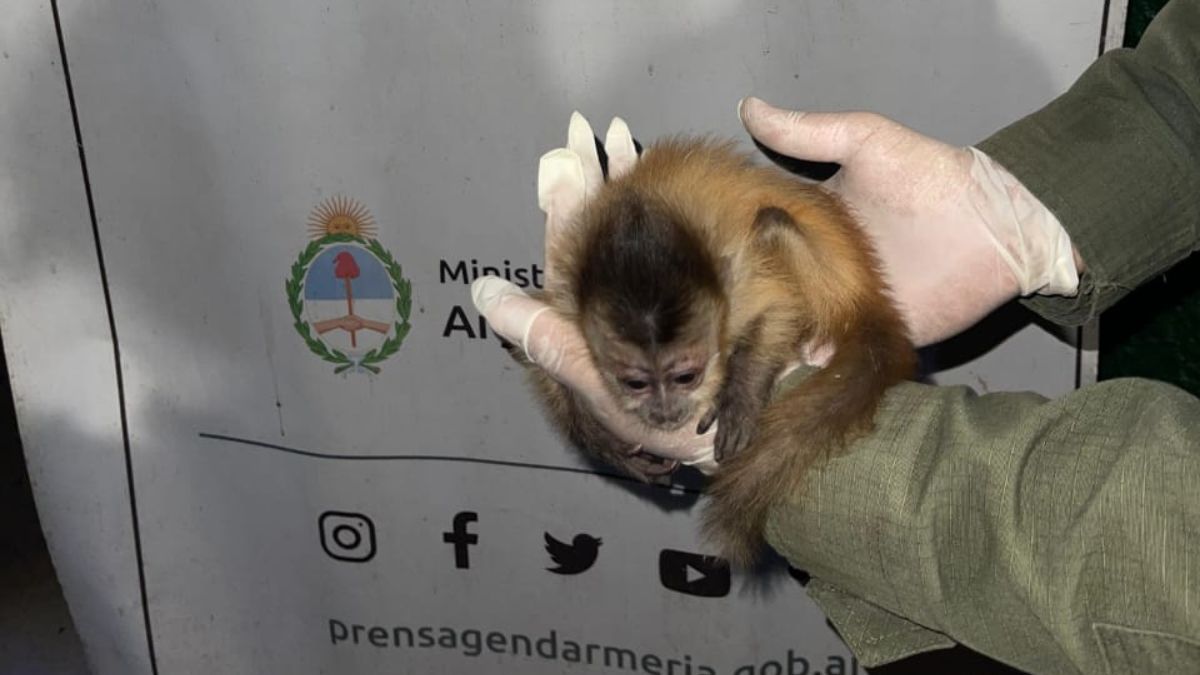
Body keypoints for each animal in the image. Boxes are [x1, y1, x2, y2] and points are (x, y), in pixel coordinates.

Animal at [509, 136, 917, 565]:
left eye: (685, 377)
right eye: (636, 384)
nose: (666, 413)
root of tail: (865, 292)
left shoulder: (736, 282)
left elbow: (779, 307)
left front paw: (739, 393)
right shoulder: (569, 297)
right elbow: (542, 355)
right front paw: (597, 438)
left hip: (830, 288)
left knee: (772, 221)